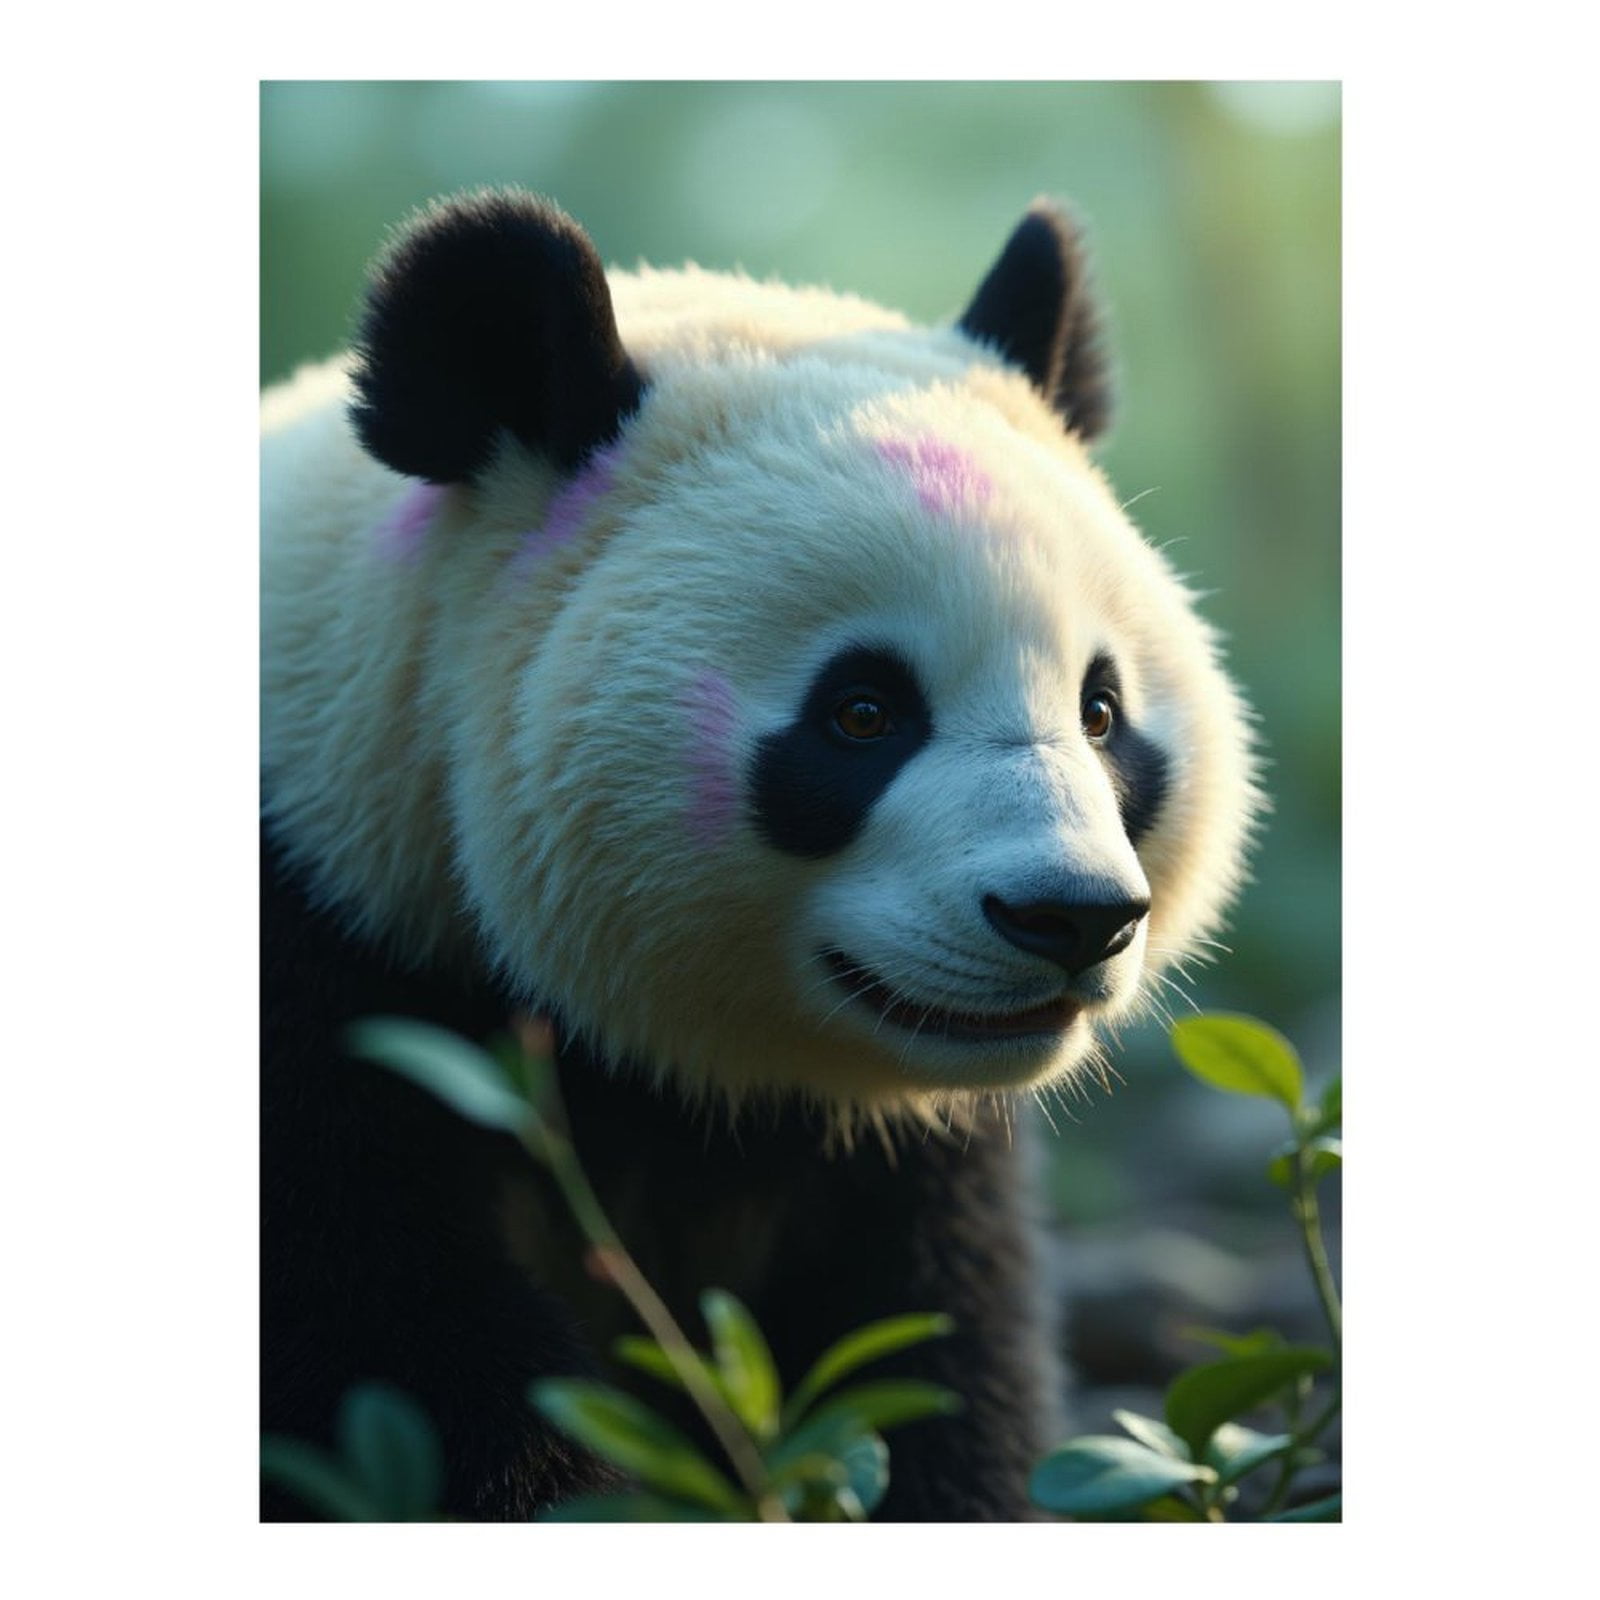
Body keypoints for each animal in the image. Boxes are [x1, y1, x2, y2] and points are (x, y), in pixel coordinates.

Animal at [260, 190, 1258, 1521]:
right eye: (863, 713)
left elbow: (930, 1342)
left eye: (1101, 712)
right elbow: (392, 1343)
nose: (1071, 917)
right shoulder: (325, 952)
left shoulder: (900, 1155)